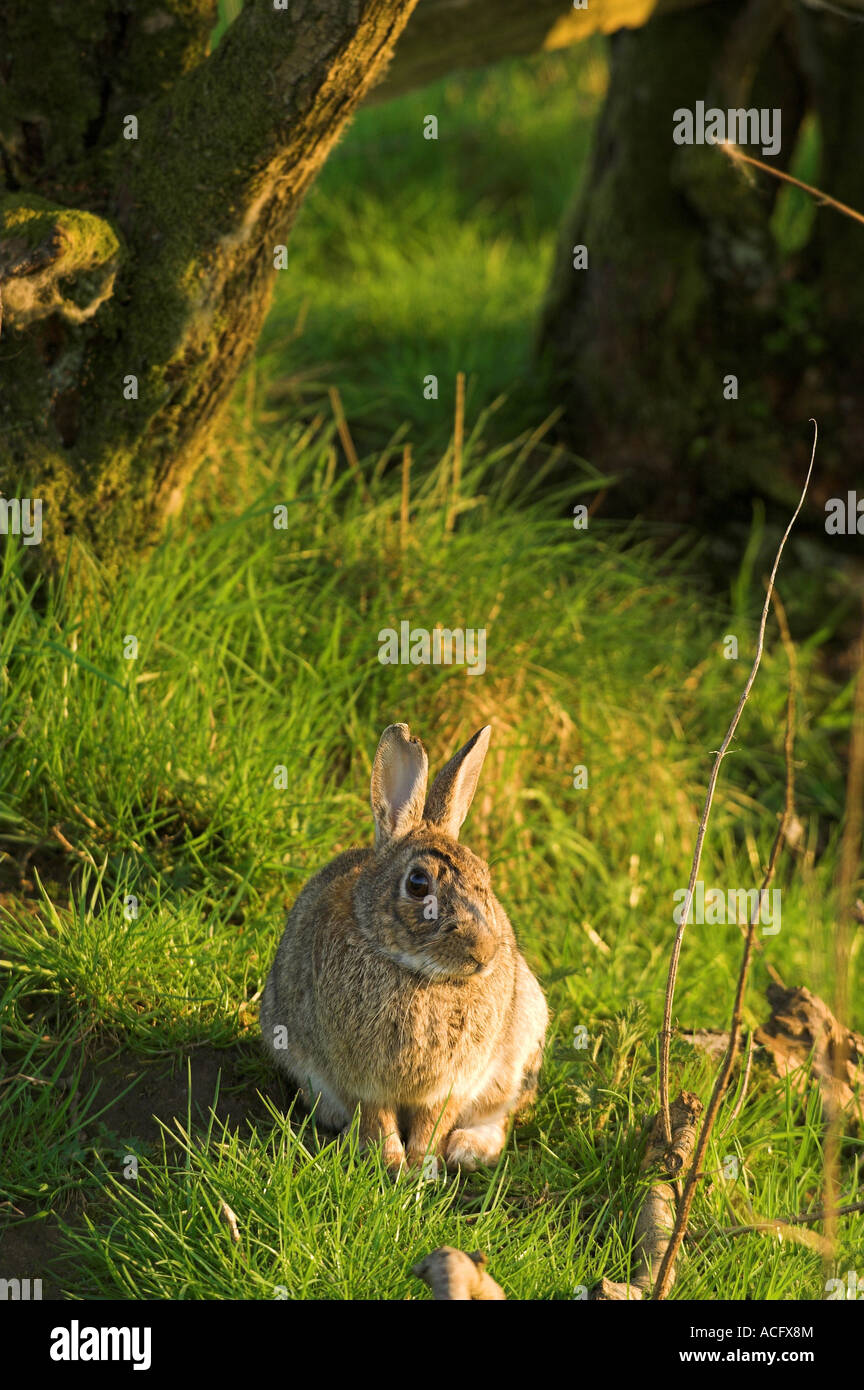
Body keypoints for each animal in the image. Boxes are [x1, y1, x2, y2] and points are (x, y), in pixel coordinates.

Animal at [259, 722, 548, 1172]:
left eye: (484, 878)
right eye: (417, 884)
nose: (484, 953)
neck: (419, 973)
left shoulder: (453, 1082)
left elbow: (435, 1120)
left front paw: (422, 1165)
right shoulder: (359, 1078)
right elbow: (375, 1114)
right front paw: (391, 1162)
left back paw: (468, 1149)